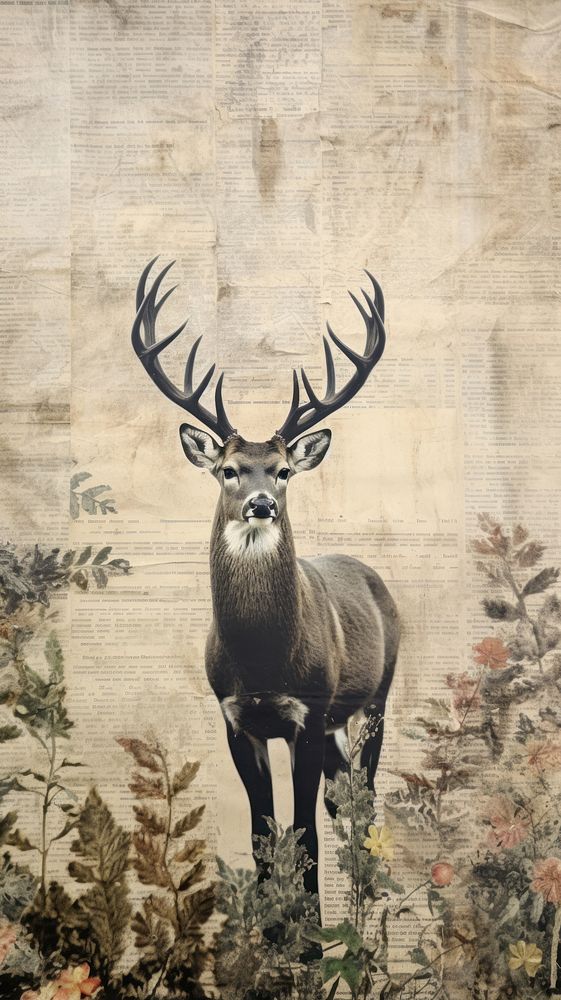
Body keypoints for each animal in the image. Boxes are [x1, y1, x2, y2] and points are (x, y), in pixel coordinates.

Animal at [131, 258, 400, 905]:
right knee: (344, 797)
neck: (262, 659)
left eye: (282, 471)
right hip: (337, 724)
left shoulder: (307, 710)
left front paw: (312, 924)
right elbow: (261, 837)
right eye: (229, 469)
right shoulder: (236, 718)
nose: (261, 503)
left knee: (364, 796)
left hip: (377, 697)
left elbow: (303, 836)